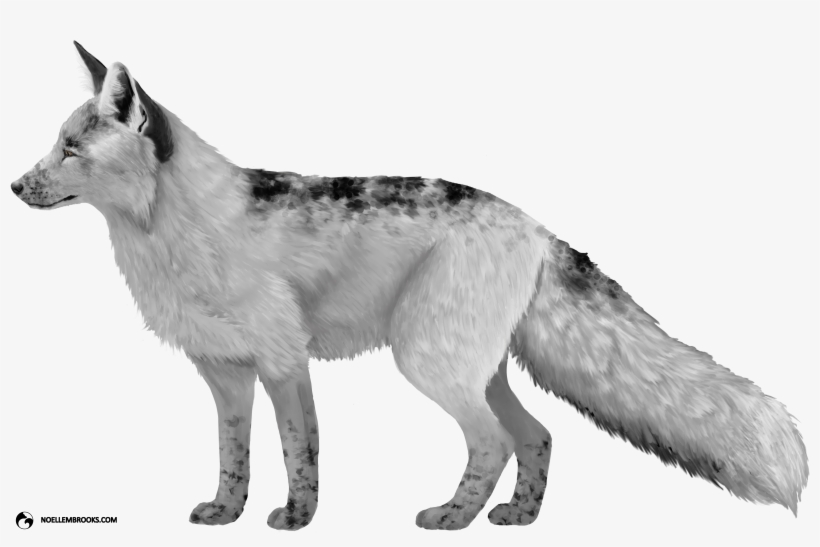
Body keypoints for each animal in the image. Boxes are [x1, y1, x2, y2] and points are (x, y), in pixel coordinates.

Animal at [9, 42, 809, 531]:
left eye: (71, 149)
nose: (14, 186)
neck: (177, 233)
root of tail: (535, 225)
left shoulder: (283, 361)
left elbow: (299, 451)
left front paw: (297, 520)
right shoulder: (225, 375)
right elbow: (234, 457)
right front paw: (226, 513)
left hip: (427, 362)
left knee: (493, 442)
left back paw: (452, 518)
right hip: (474, 369)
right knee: (538, 435)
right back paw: (517, 518)